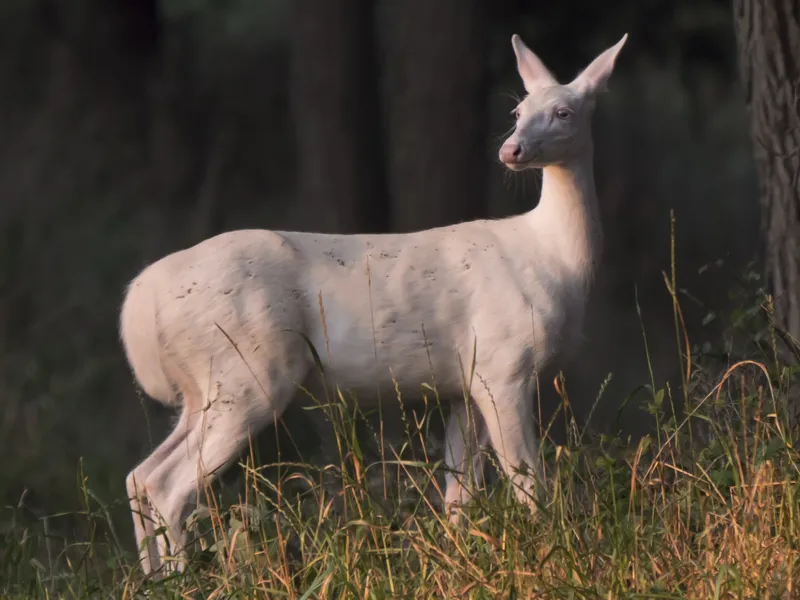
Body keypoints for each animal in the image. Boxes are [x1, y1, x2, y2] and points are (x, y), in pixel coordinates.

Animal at [120, 32, 627, 574]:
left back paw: (156, 579)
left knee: (139, 476)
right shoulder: (504, 364)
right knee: (169, 486)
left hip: (203, 386)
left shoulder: (465, 382)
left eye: (563, 112)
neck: (551, 256)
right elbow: (527, 482)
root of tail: (139, 301)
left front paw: (458, 566)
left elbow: (459, 495)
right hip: (248, 372)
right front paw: (558, 559)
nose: (510, 149)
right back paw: (187, 578)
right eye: (517, 110)